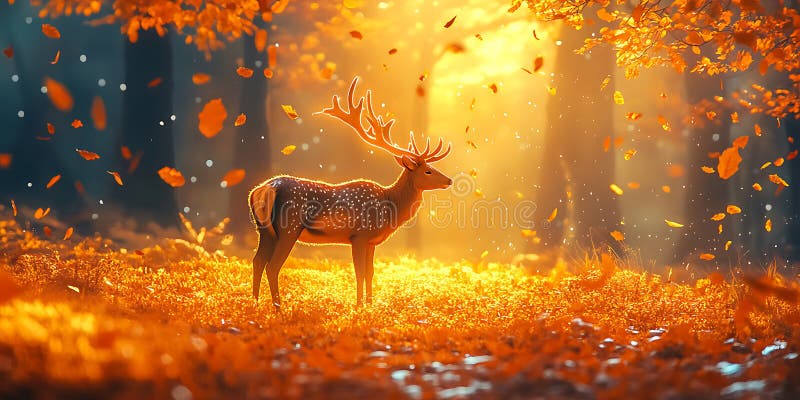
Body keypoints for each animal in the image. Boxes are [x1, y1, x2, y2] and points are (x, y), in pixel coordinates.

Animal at [249, 77, 453, 311]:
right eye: (427, 171)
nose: (449, 180)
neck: (389, 207)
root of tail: (263, 189)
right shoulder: (360, 235)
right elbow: (359, 272)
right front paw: (358, 307)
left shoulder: (372, 241)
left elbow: (371, 273)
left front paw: (370, 306)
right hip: (288, 228)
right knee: (272, 265)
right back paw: (278, 309)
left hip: (264, 230)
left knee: (257, 261)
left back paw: (254, 304)